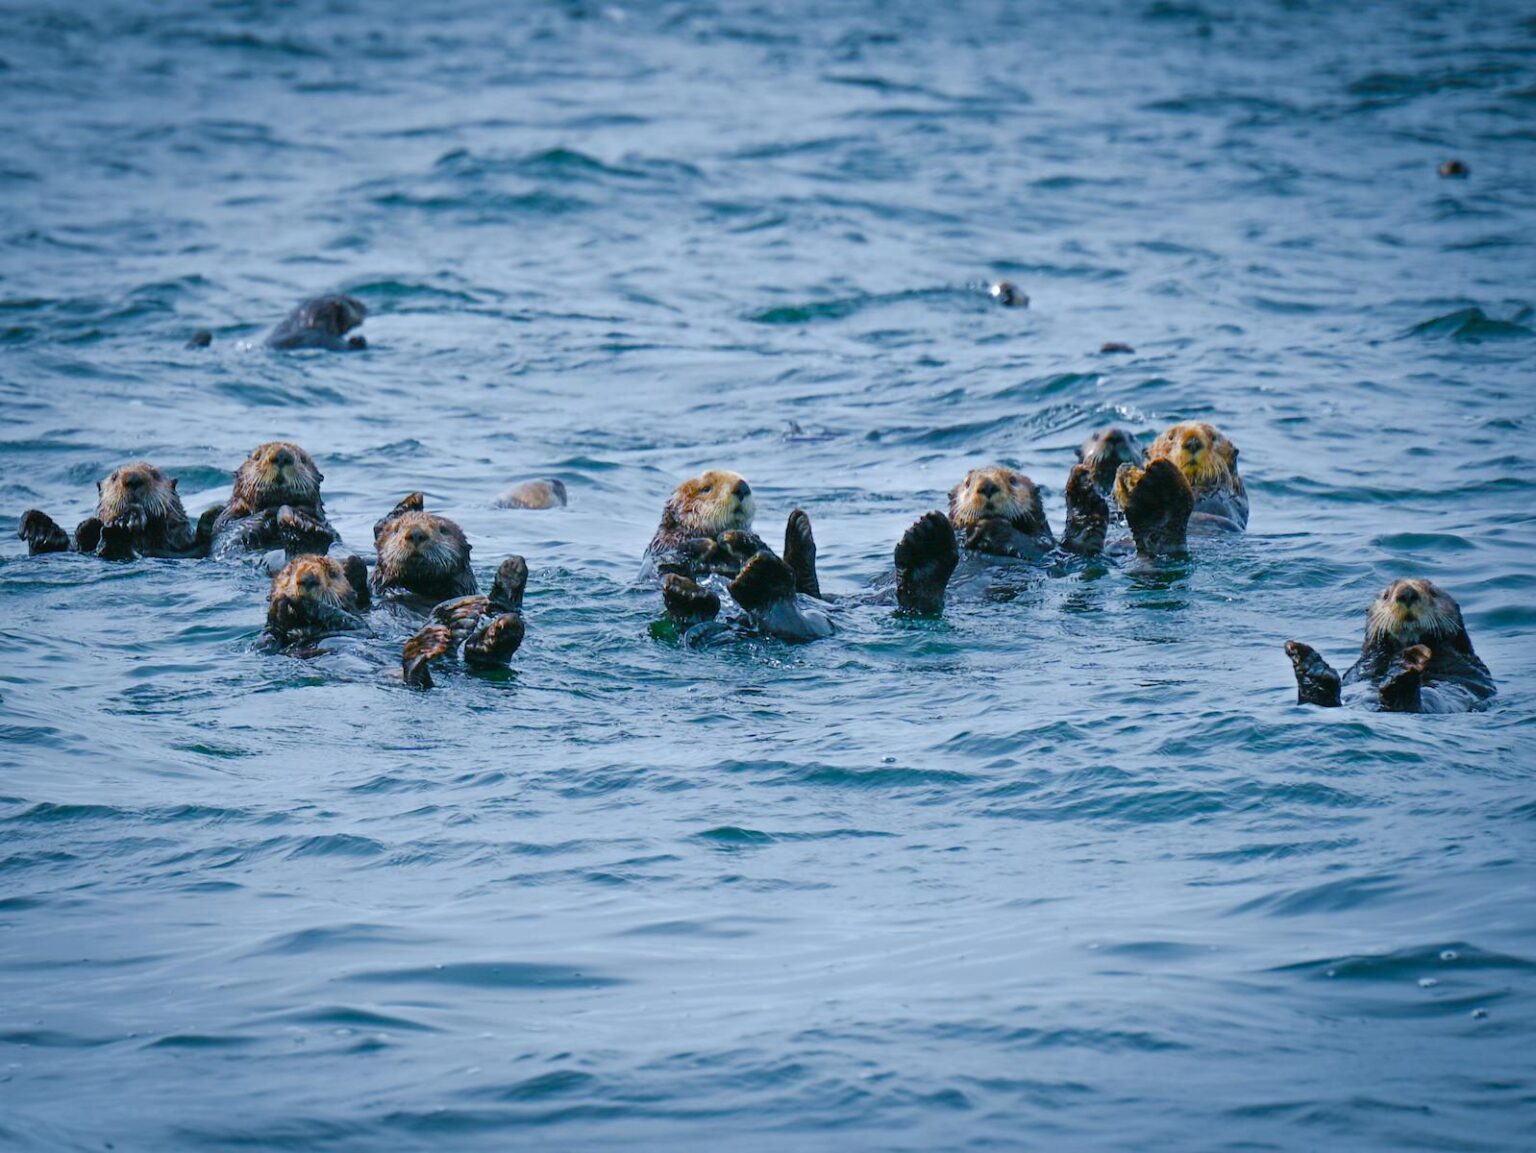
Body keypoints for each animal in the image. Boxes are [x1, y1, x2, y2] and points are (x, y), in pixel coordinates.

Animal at [210, 441, 339, 558]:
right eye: (257, 457)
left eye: (303, 459)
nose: (282, 455)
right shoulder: (225, 522)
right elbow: (235, 529)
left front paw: (299, 518)